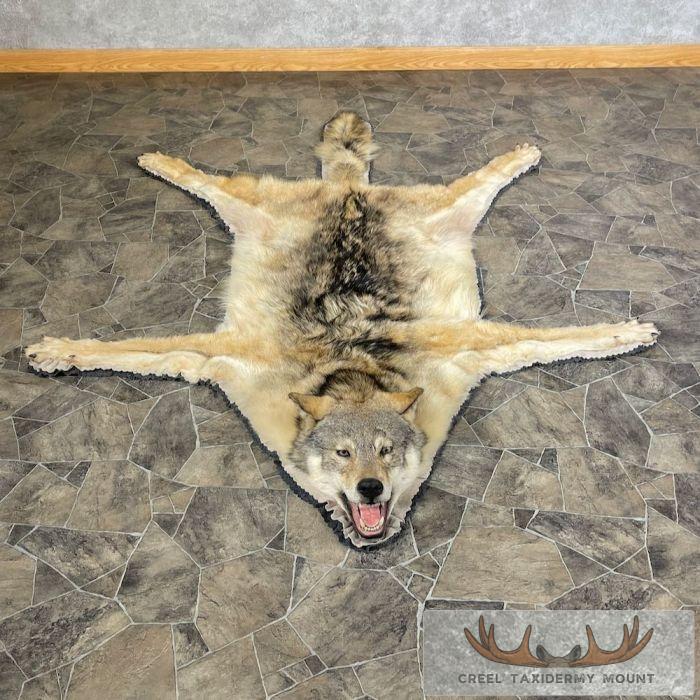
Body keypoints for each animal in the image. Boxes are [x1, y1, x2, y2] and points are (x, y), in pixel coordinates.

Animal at [26, 112, 658, 547]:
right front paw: (57, 349)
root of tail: (347, 188)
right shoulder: (227, 355)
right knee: (205, 179)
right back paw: (158, 159)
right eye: (343, 453)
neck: (350, 369)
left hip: (444, 213)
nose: (370, 489)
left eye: (385, 451)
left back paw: (521, 152)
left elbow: (560, 337)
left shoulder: (464, 345)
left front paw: (625, 332)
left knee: (484, 175)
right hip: (250, 207)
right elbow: (130, 347)